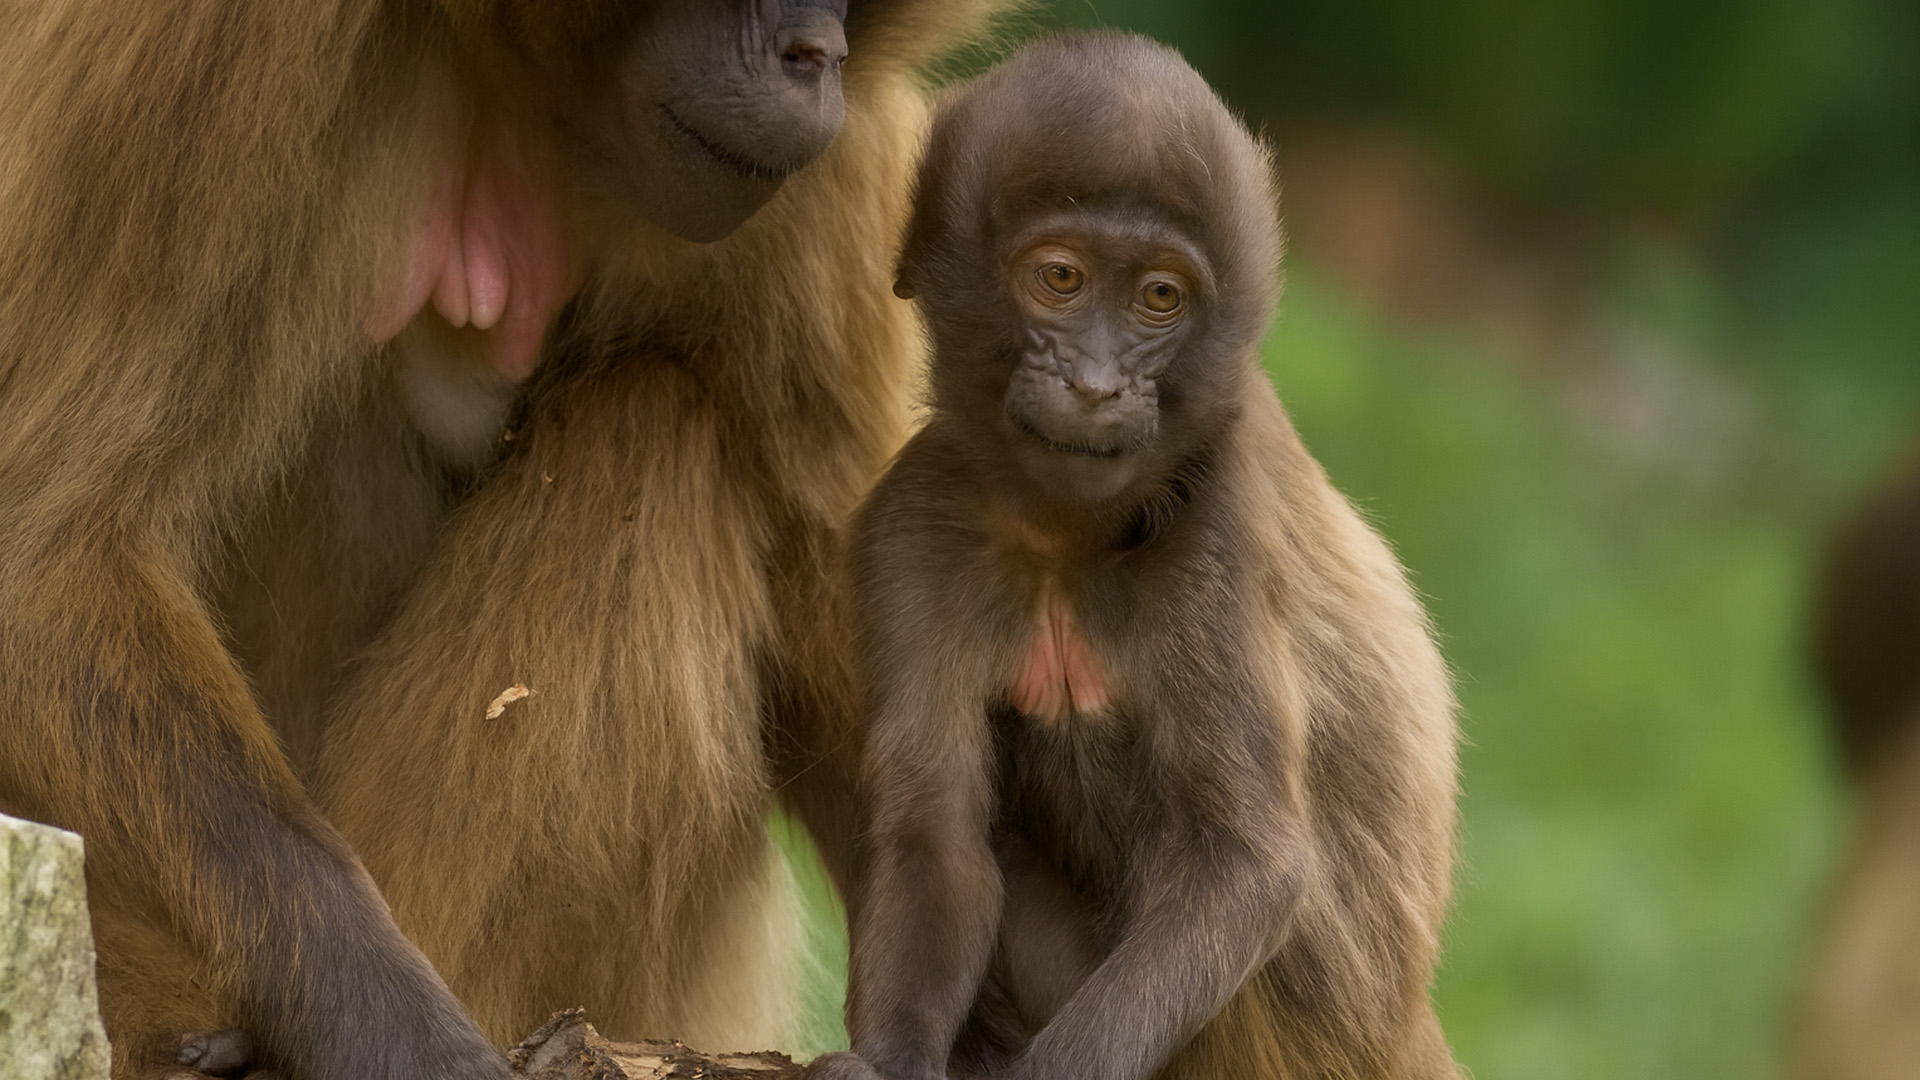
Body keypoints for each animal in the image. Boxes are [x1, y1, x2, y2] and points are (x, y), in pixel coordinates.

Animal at [0, 1, 1007, 1078]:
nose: (814, 57)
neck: (518, 77)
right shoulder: (217, 49)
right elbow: (50, 560)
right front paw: (411, 1043)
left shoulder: (833, 167)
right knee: (654, 423)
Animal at [810, 32, 1462, 1080]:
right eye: (1060, 279)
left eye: (1161, 298)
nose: (1096, 383)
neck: (1064, 534)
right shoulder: (910, 521)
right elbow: (932, 832)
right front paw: (890, 1057)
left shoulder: (1222, 530)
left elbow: (1244, 864)